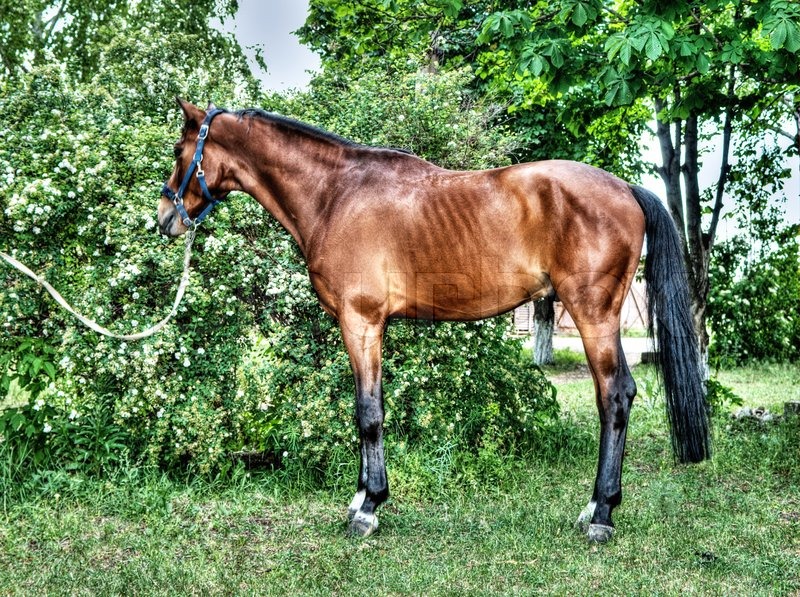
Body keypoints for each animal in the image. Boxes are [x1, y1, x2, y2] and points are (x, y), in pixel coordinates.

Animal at [158, 99, 711, 543]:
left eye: (179, 150)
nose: (164, 217)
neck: (335, 193)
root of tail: (624, 189)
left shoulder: (361, 323)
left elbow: (368, 413)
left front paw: (368, 508)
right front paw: (363, 498)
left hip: (593, 313)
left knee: (615, 396)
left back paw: (601, 515)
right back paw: (595, 507)